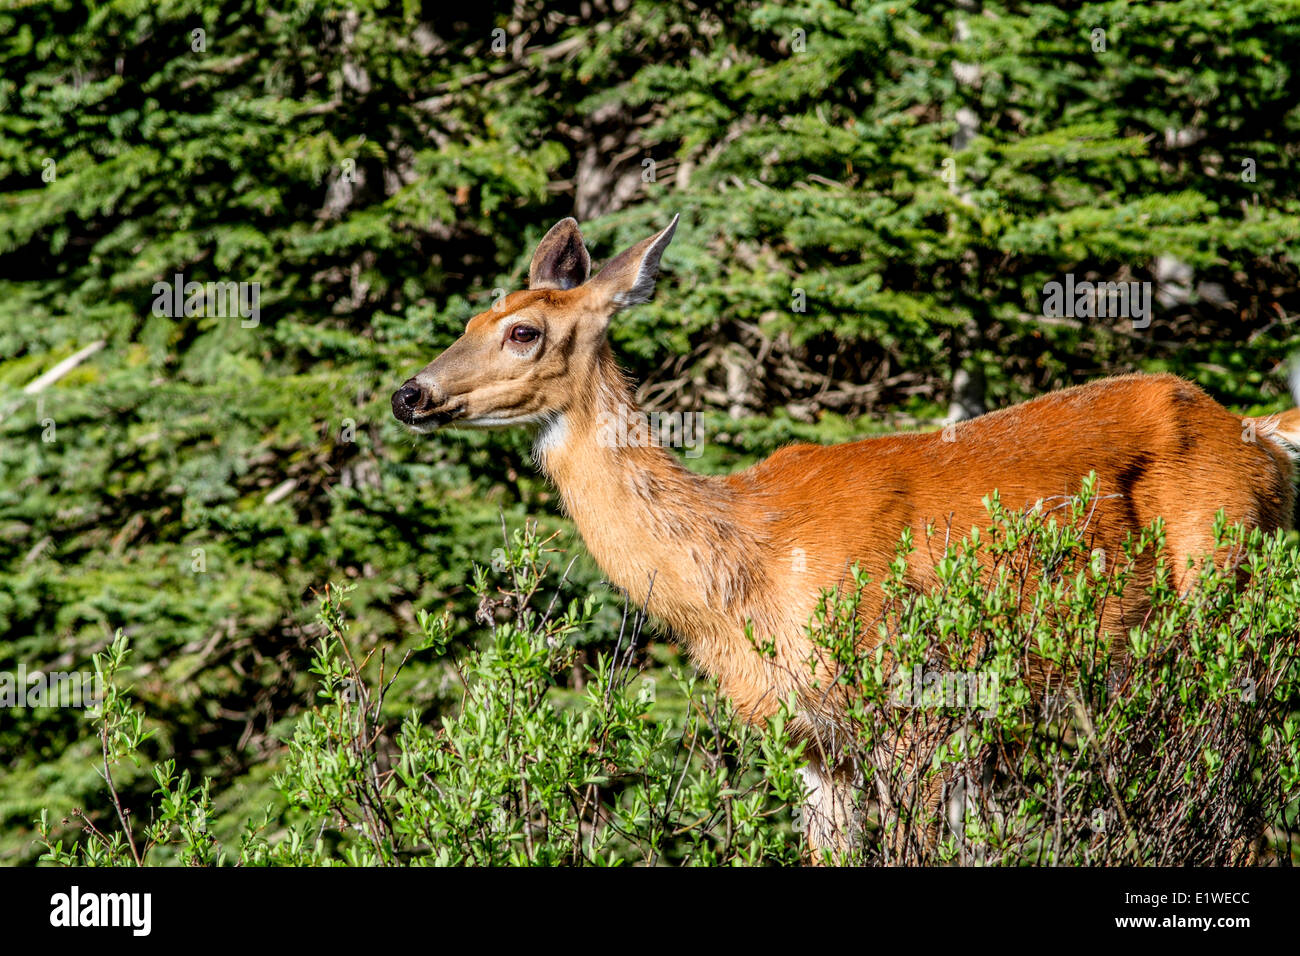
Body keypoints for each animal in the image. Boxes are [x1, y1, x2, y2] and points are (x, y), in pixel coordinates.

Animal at [392, 214, 1300, 858]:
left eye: (523, 332)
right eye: (474, 315)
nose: (409, 393)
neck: (742, 567)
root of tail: (1256, 432)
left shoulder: (912, 704)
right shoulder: (810, 740)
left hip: (1224, 611)